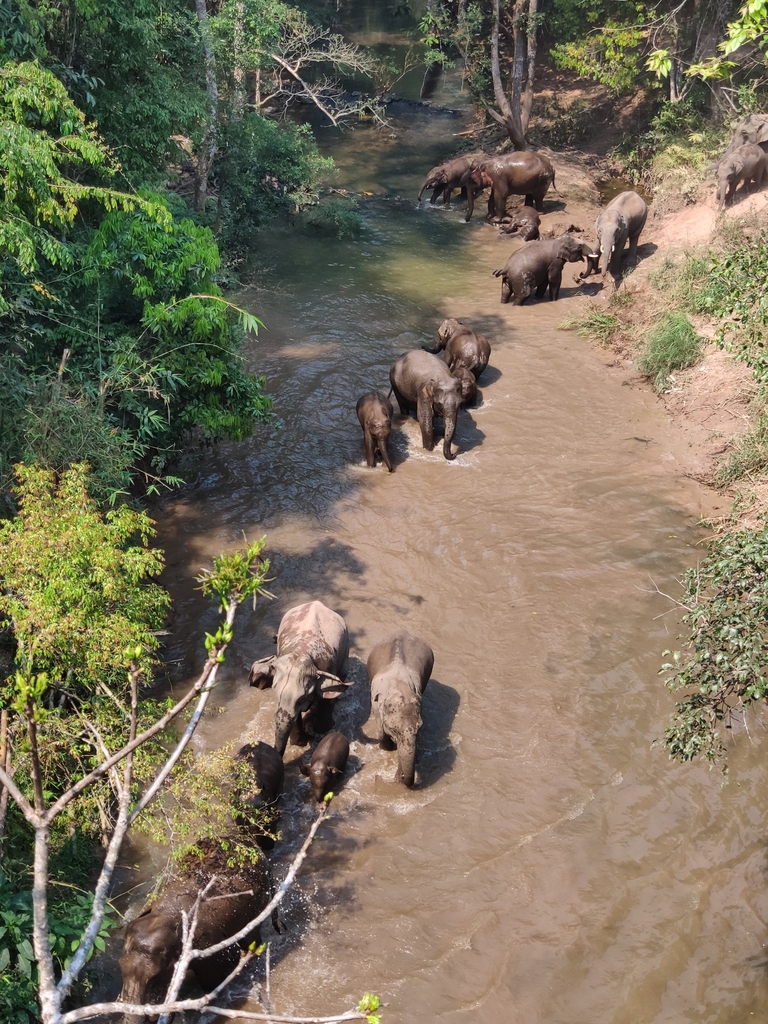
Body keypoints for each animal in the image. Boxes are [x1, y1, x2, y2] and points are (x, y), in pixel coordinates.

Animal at [248, 601, 350, 757]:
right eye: (275, 694)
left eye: (302, 698)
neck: (302, 653)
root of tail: (316, 602)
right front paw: (300, 742)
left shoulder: (328, 666)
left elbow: (327, 700)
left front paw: (320, 732)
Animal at [367, 630, 434, 787]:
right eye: (394, 729)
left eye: (419, 728)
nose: (401, 777)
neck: (399, 686)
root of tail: (402, 631)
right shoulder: (376, 706)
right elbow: (381, 734)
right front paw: (386, 747)